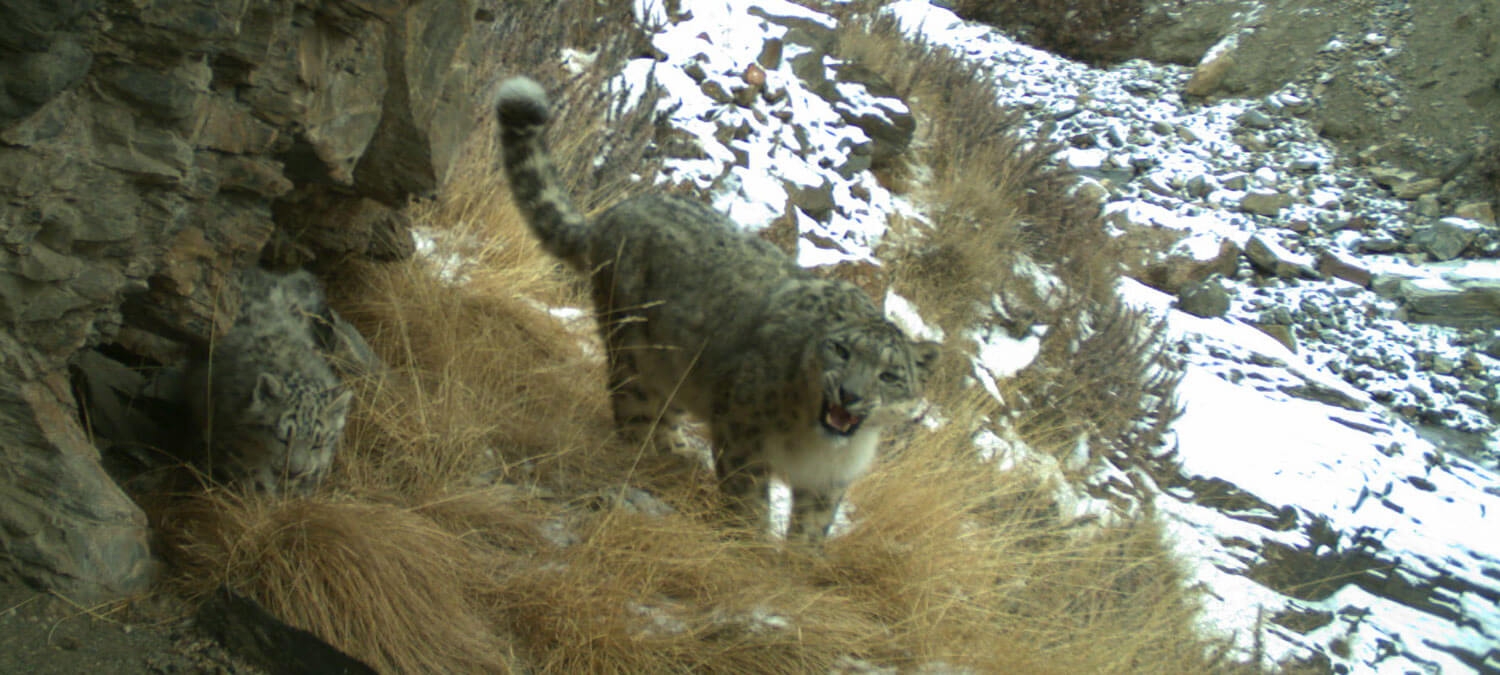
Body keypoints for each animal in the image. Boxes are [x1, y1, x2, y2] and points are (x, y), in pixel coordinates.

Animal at [495, 76, 939, 544]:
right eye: (841, 350)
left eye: (890, 375)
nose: (849, 394)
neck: (814, 442)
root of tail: (612, 214)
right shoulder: (743, 430)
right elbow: (747, 497)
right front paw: (751, 542)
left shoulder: (828, 480)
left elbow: (812, 527)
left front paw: (799, 556)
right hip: (635, 348)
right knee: (632, 405)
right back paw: (647, 456)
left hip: (677, 366)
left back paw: (677, 452)